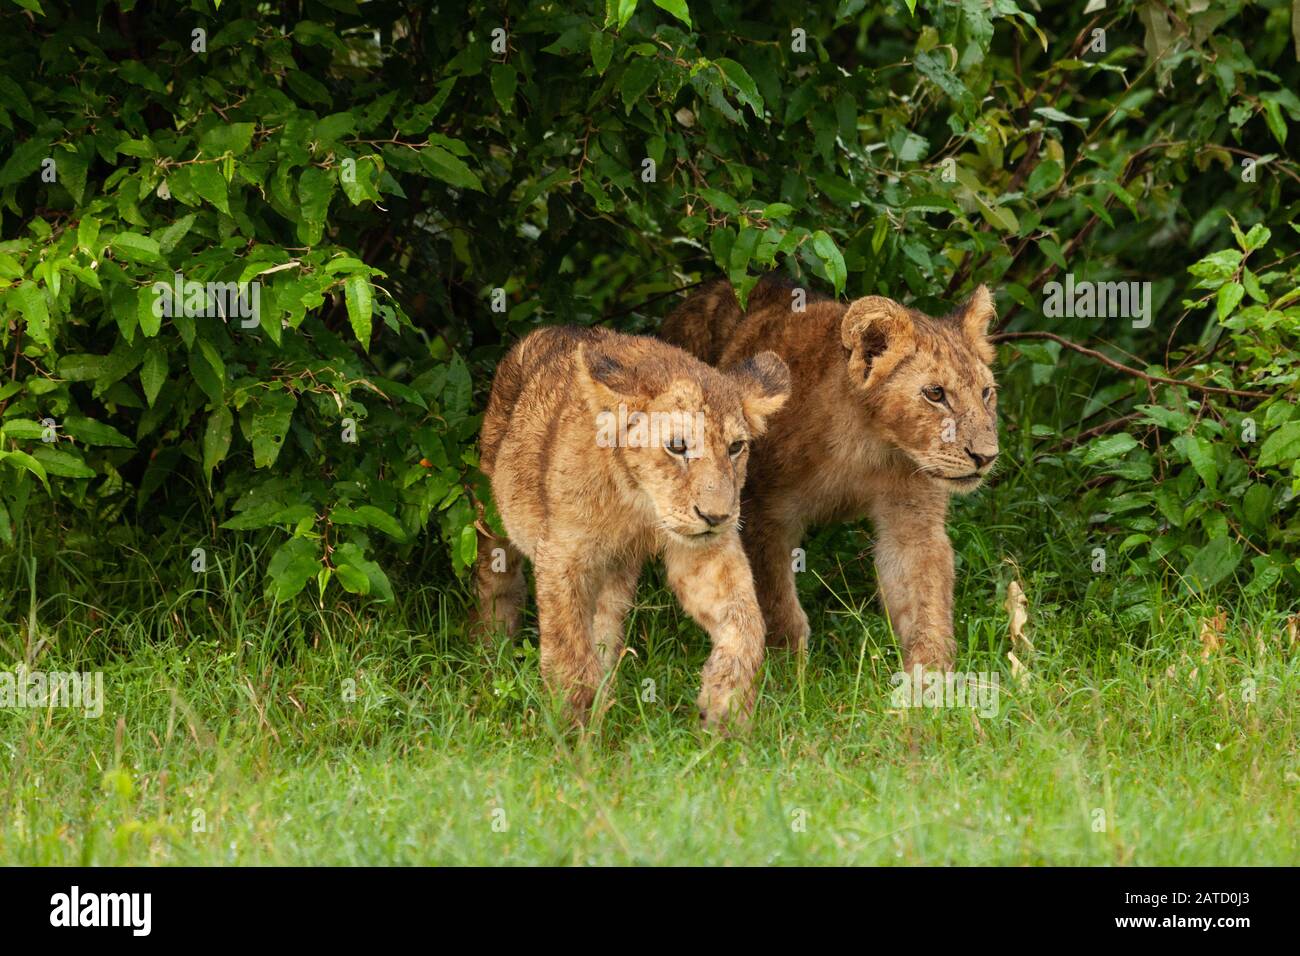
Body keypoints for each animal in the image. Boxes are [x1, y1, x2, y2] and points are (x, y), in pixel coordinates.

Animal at [472, 325, 790, 728]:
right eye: (677, 446)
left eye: (735, 447)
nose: (717, 517)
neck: (640, 503)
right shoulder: (562, 556)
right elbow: (569, 647)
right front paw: (573, 730)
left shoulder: (701, 550)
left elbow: (746, 622)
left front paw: (724, 707)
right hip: (492, 506)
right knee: (497, 579)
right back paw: (492, 652)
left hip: (615, 573)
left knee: (606, 625)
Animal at [661, 276, 999, 673]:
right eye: (935, 393)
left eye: (986, 393)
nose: (986, 457)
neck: (867, 445)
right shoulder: (762, 512)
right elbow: (775, 601)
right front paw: (788, 671)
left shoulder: (913, 517)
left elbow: (925, 595)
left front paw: (930, 677)